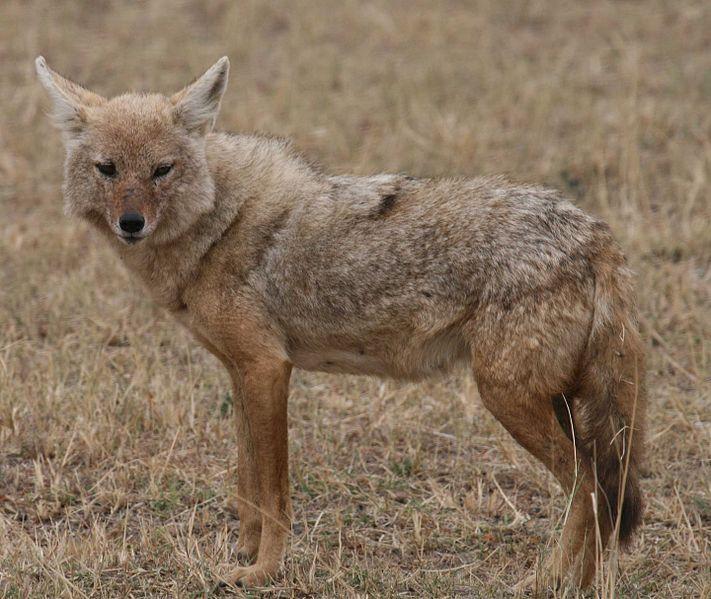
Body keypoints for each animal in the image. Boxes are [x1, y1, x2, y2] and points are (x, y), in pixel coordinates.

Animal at [36, 56, 646, 590]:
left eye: (162, 170)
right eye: (108, 169)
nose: (130, 223)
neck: (217, 222)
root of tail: (596, 235)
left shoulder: (268, 368)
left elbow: (274, 492)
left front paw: (263, 572)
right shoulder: (241, 371)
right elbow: (246, 481)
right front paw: (243, 553)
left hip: (507, 398)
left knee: (590, 487)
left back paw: (549, 581)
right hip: (555, 404)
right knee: (603, 492)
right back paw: (578, 584)